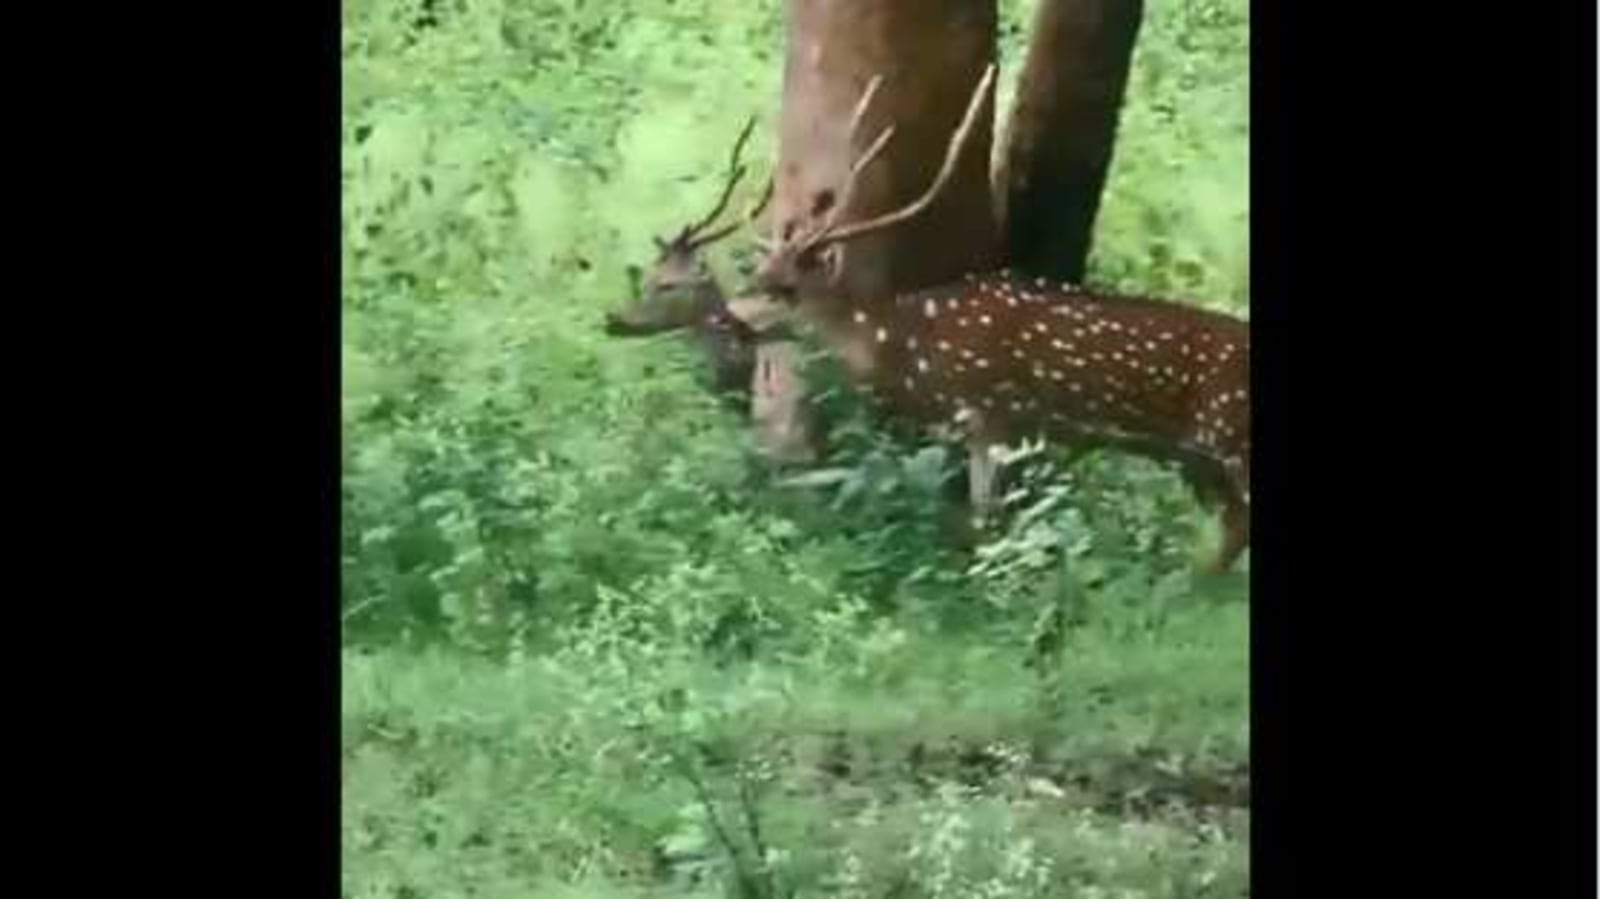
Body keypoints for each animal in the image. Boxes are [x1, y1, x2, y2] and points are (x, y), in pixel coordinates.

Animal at [730, 64, 1251, 573]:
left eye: (785, 289)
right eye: (758, 271)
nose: (729, 317)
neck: (912, 343)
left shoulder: (992, 411)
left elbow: (984, 516)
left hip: (1232, 438)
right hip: (1202, 460)